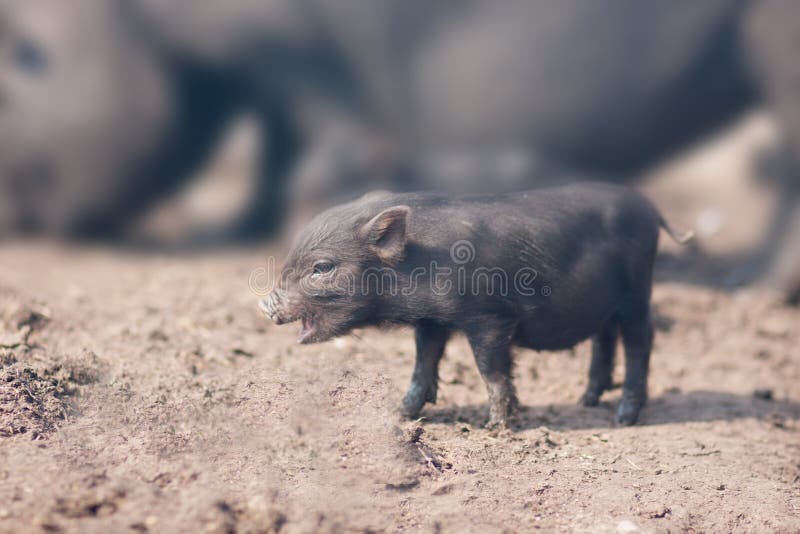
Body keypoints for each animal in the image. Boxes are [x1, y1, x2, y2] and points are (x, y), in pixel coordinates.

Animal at [260, 183, 692, 427]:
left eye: (322, 267)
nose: (266, 302)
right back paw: (585, 401)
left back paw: (624, 418)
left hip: (636, 293)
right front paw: (401, 414)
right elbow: (423, 363)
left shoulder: (491, 317)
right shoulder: (432, 320)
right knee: (605, 339)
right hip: (605, 304)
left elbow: (491, 371)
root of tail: (651, 209)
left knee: (641, 340)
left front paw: (497, 428)